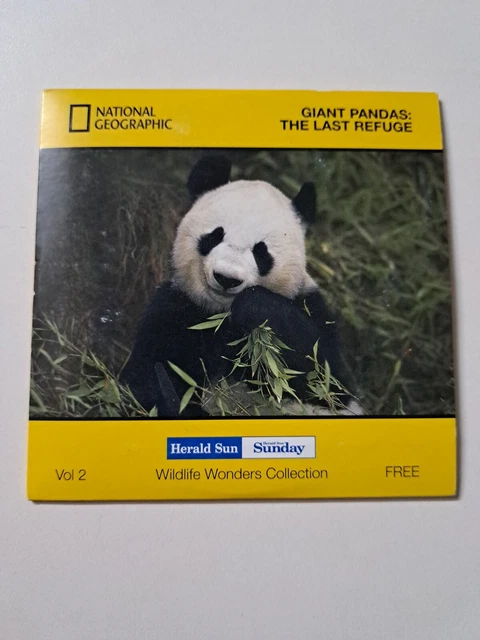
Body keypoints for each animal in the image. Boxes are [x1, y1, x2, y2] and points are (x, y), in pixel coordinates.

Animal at [121, 155, 358, 417]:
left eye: (261, 252)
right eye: (214, 236)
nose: (227, 278)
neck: (221, 316)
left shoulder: (310, 305)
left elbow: (322, 375)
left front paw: (254, 306)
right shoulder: (176, 307)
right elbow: (148, 376)